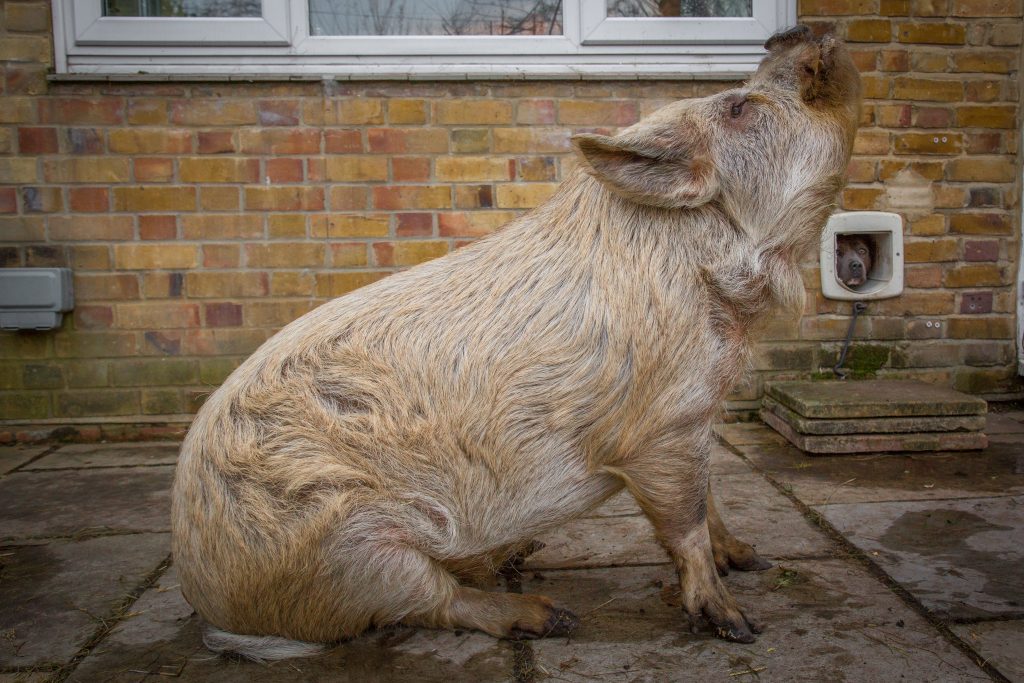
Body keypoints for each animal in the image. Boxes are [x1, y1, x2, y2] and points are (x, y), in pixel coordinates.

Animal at [171, 25, 861, 661]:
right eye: (740, 107)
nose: (802, 30)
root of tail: (206, 597)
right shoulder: (657, 426)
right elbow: (685, 519)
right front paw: (740, 627)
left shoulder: (697, 415)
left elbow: (712, 495)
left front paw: (754, 559)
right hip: (355, 551)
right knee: (439, 602)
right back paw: (548, 615)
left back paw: (523, 554)